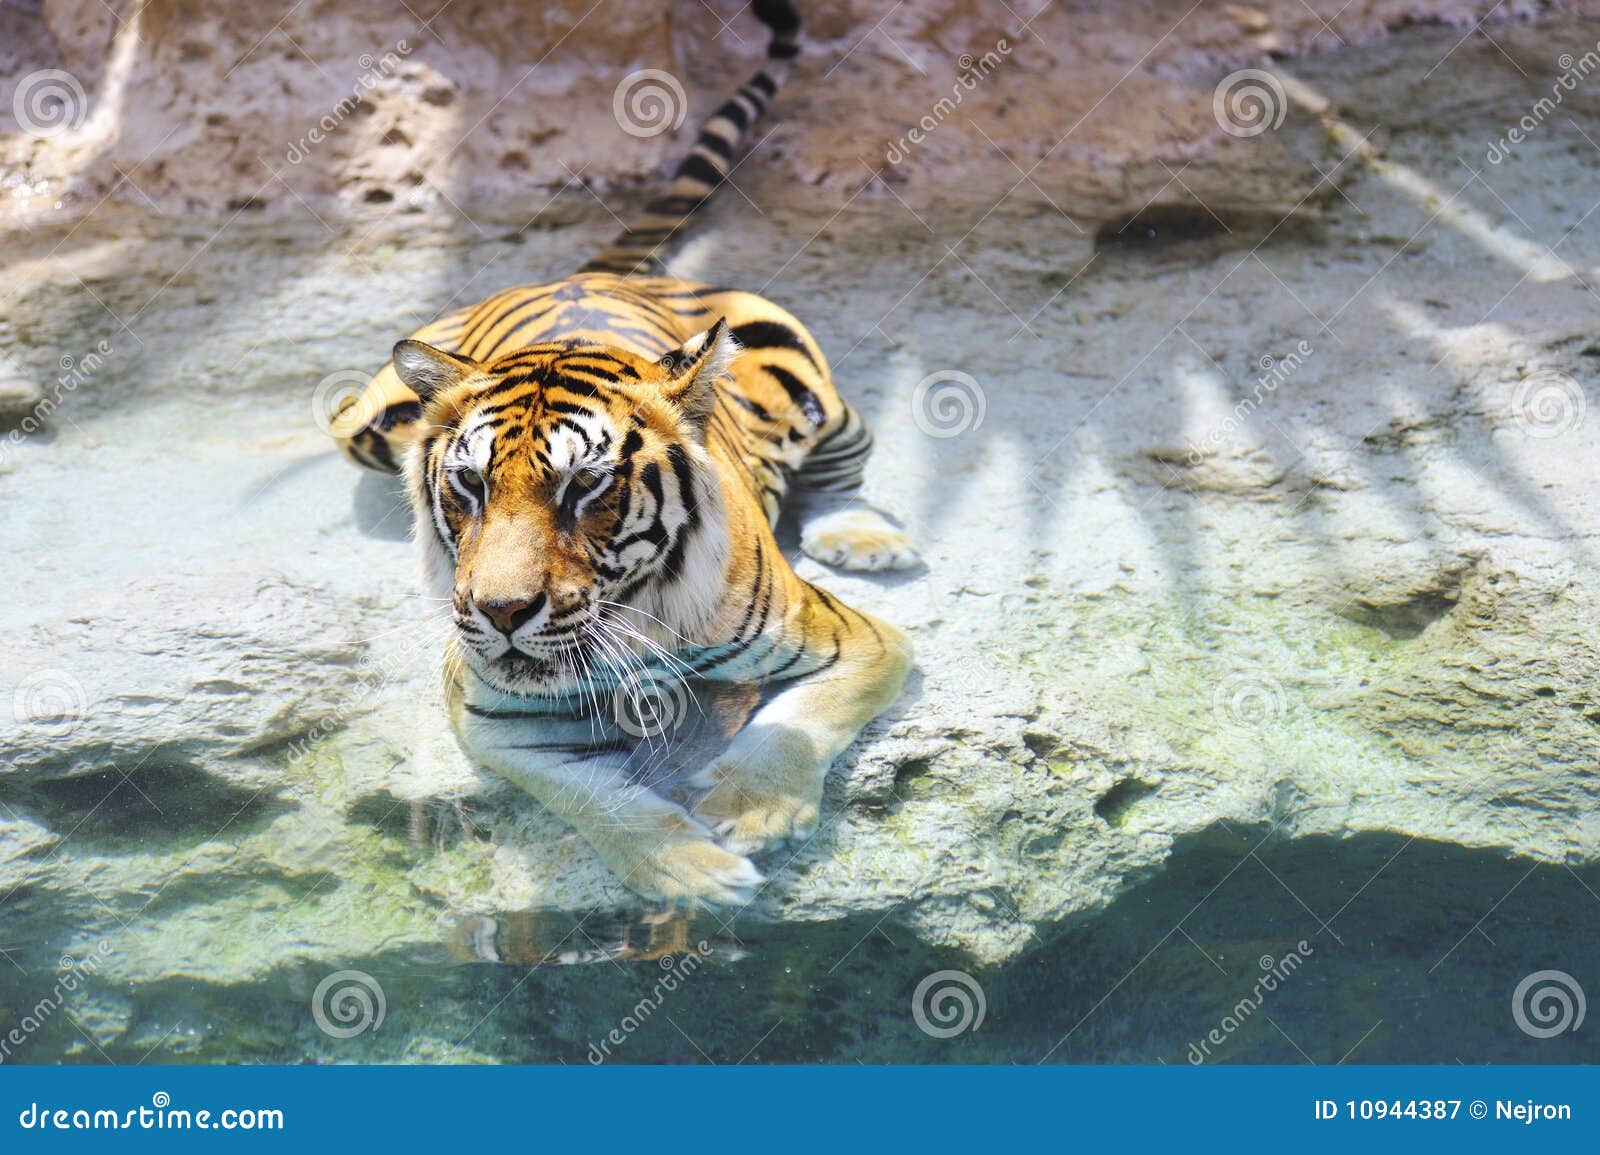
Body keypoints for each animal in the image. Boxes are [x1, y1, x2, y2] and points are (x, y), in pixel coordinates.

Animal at [331, 0, 916, 908]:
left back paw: (865, 534)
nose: (501, 612)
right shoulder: (489, 713)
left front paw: (754, 810)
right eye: (468, 485)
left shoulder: (862, 639)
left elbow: (802, 719)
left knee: (844, 463)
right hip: (365, 419)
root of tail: (578, 273)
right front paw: (692, 872)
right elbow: (591, 797)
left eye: (584, 488)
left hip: (806, 374)